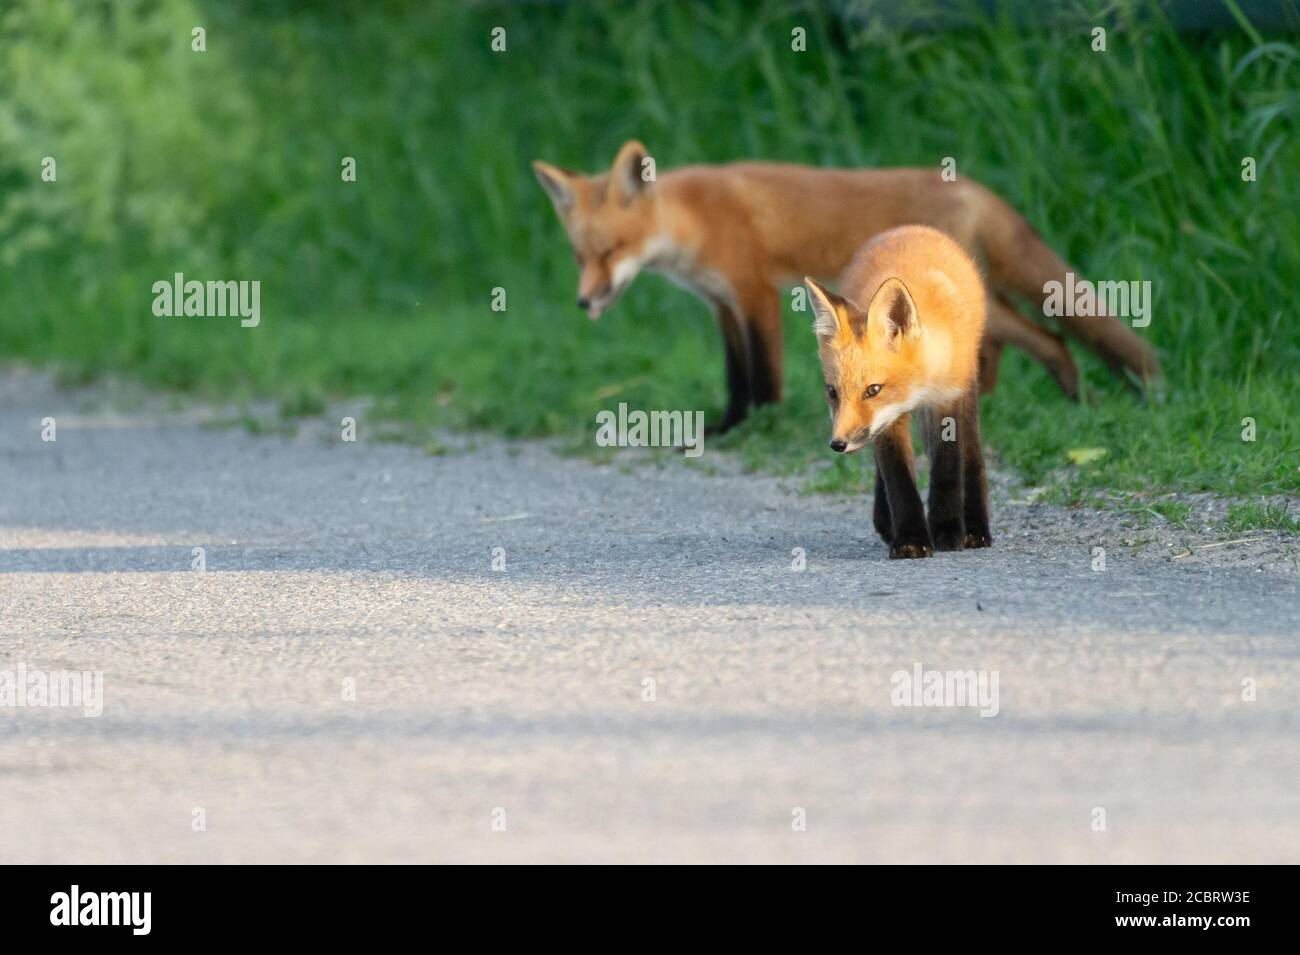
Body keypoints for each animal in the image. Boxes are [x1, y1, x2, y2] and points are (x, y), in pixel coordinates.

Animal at [532, 140, 1160, 432]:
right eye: (579, 255)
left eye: (610, 252)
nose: (583, 300)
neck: (693, 221)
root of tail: (973, 187)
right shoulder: (722, 305)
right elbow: (736, 376)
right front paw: (729, 425)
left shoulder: (754, 291)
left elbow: (764, 375)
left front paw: (760, 426)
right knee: (1005, 344)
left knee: (1048, 338)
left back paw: (1075, 398)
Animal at [805, 225, 990, 559]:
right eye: (832, 392)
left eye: (873, 389)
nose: (837, 444)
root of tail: (909, 229)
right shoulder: (888, 421)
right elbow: (897, 477)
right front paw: (910, 539)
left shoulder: (947, 400)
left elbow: (946, 468)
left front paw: (947, 529)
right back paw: (885, 521)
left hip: (968, 388)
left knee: (972, 454)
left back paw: (976, 528)